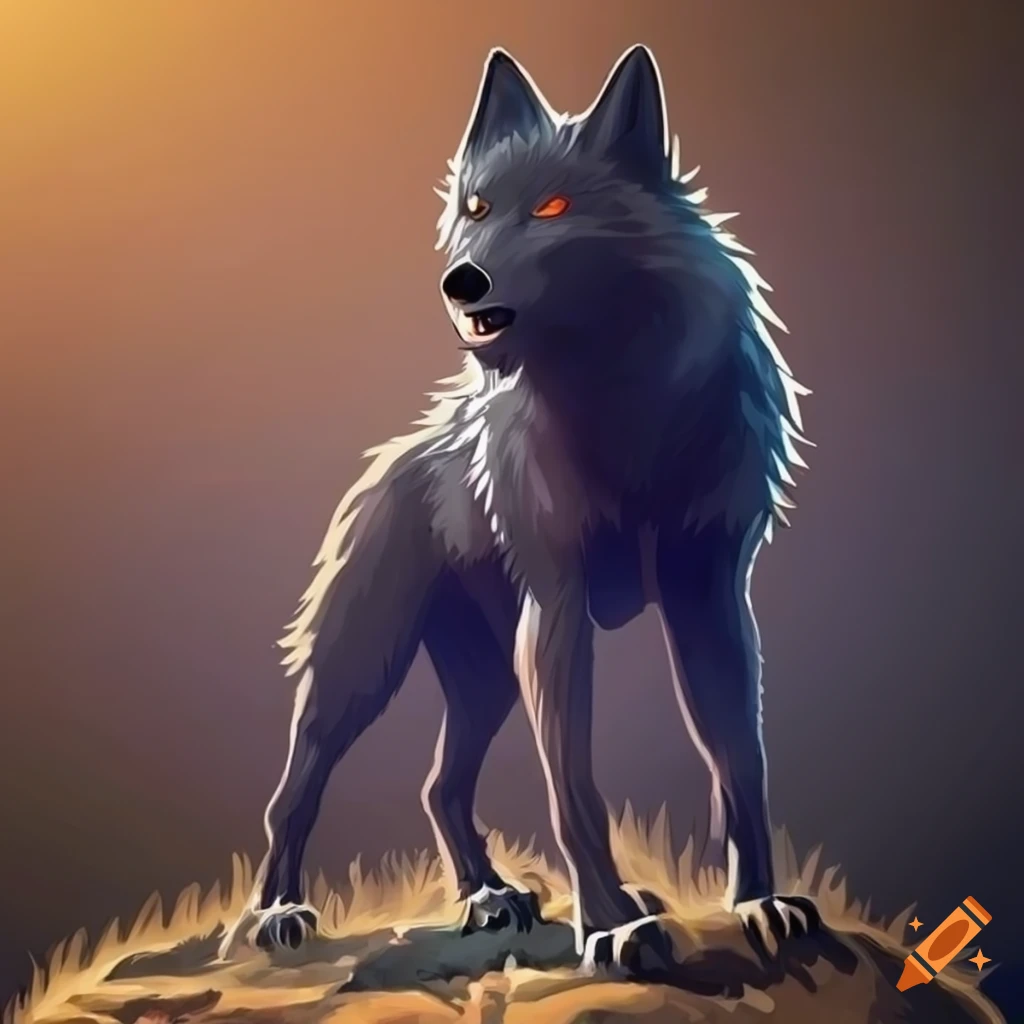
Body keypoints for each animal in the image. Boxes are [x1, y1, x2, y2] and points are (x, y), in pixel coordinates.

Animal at [222, 44, 817, 969]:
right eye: (476, 207)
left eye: (553, 207)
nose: (459, 281)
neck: (630, 406)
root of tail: (392, 456)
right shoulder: (560, 606)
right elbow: (575, 789)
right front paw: (612, 926)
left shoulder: (710, 598)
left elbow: (739, 766)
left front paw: (759, 902)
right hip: (363, 669)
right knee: (296, 791)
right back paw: (280, 913)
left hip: (487, 678)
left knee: (439, 787)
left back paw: (490, 895)